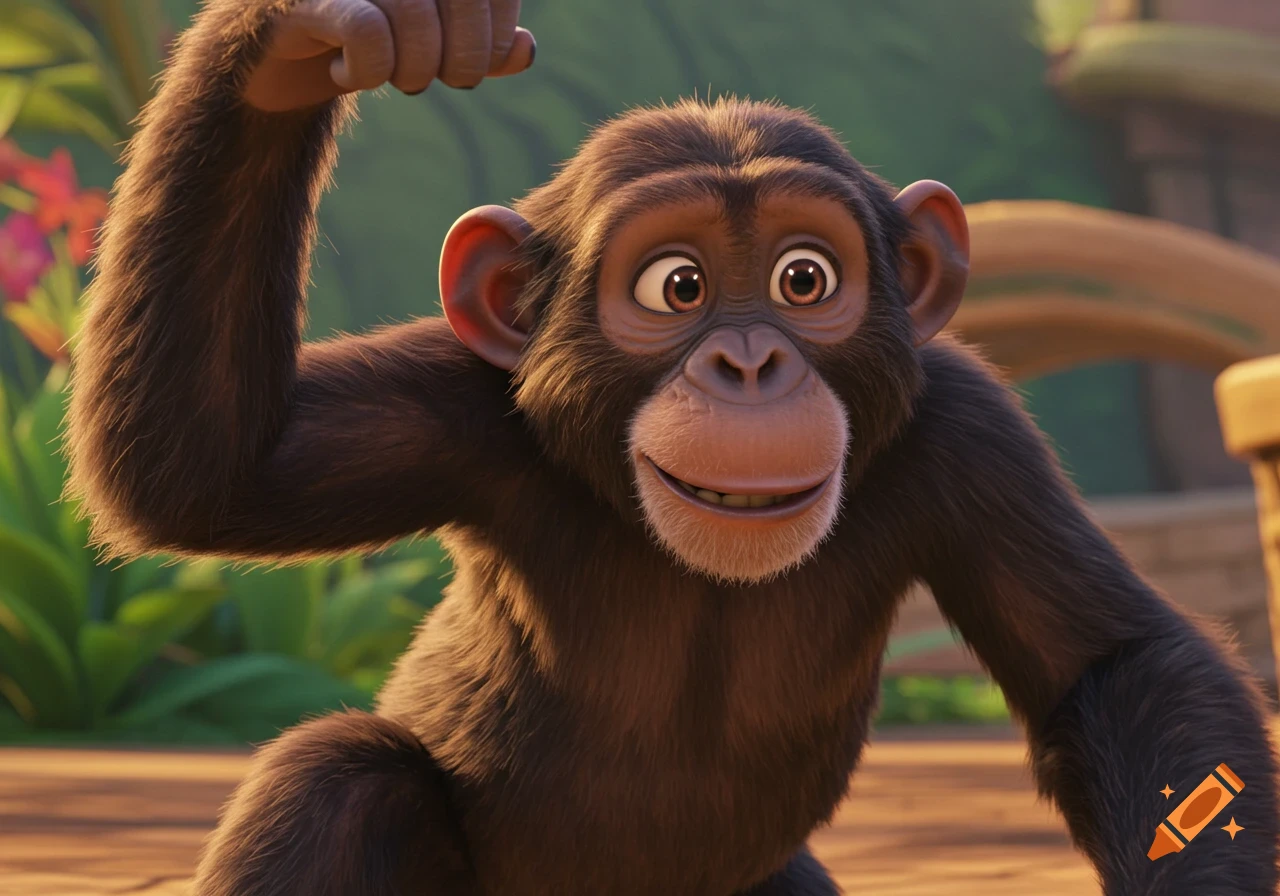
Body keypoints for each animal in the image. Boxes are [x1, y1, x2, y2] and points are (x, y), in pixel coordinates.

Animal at [64, 0, 1280, 894]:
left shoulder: (970, 434)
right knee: (337, 779)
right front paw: (297, 45)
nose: (748, 362)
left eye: (804, 278)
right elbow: (204, 468)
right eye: (677, 285)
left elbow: (1112, 663)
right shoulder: (453, 409)